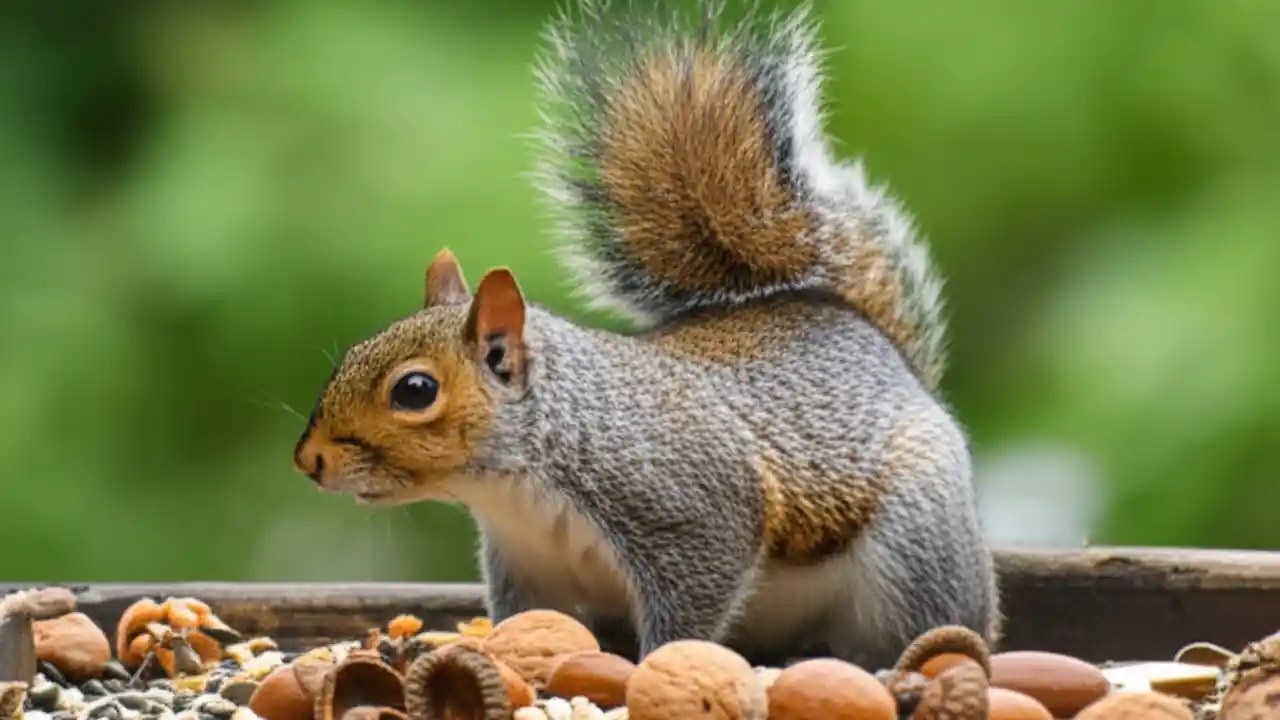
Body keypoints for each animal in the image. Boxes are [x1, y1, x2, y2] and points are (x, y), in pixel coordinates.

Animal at [292, 0, 1000, 669]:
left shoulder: (695, 509)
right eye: (350, 354)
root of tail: (881, 347)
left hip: (914, 553)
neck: (521, 482)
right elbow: (529, 621)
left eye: (414, 390)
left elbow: (692, 603)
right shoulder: (528, 564)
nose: (308, 461)